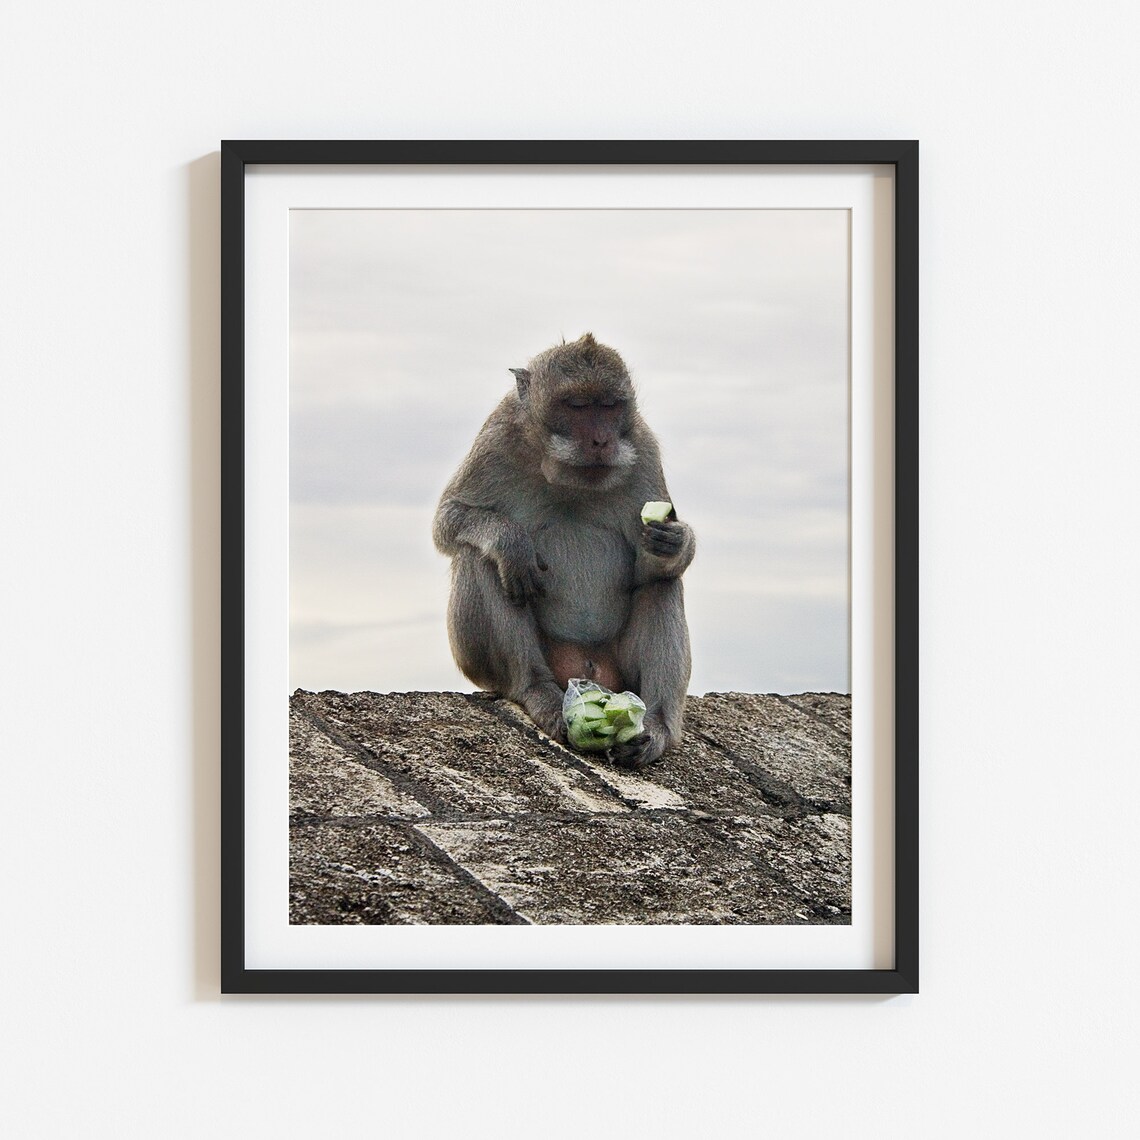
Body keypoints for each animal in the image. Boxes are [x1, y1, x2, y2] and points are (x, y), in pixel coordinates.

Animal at [433, 333, 695, 769]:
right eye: (577, 406)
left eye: (609, 406)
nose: (601, 440)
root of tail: (588, 667)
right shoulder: (496, 439)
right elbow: (449, 520)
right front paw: (510, 542)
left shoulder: (643, 448)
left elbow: (648, 569)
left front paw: (675, 540)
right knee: (480, 560)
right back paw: (536, 690)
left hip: (618, 667)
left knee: (662, 584)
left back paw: (656, 727)